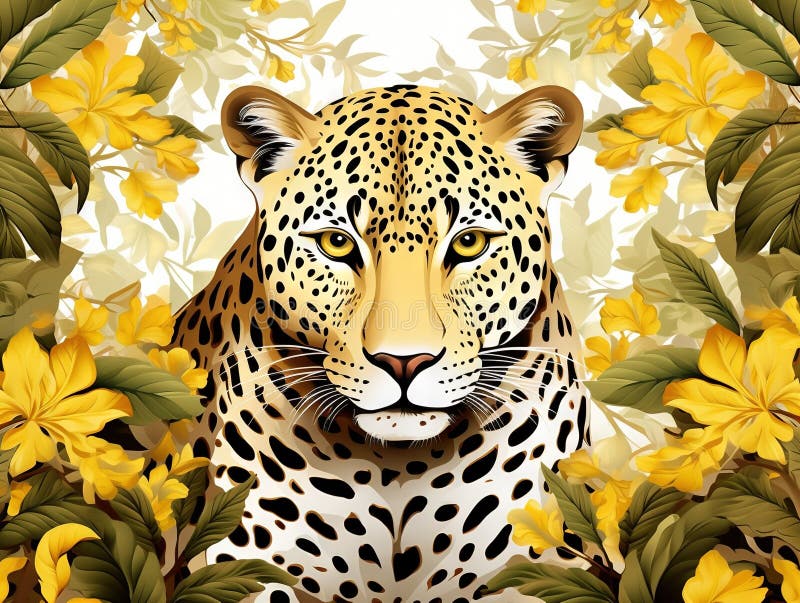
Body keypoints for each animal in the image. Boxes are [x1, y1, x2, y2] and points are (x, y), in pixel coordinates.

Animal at [171, 83, 589, 602]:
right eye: (335, 243)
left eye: (469, 243)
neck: (399, 468)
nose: (404, 362)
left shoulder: (533, 566)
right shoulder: (245, 567)